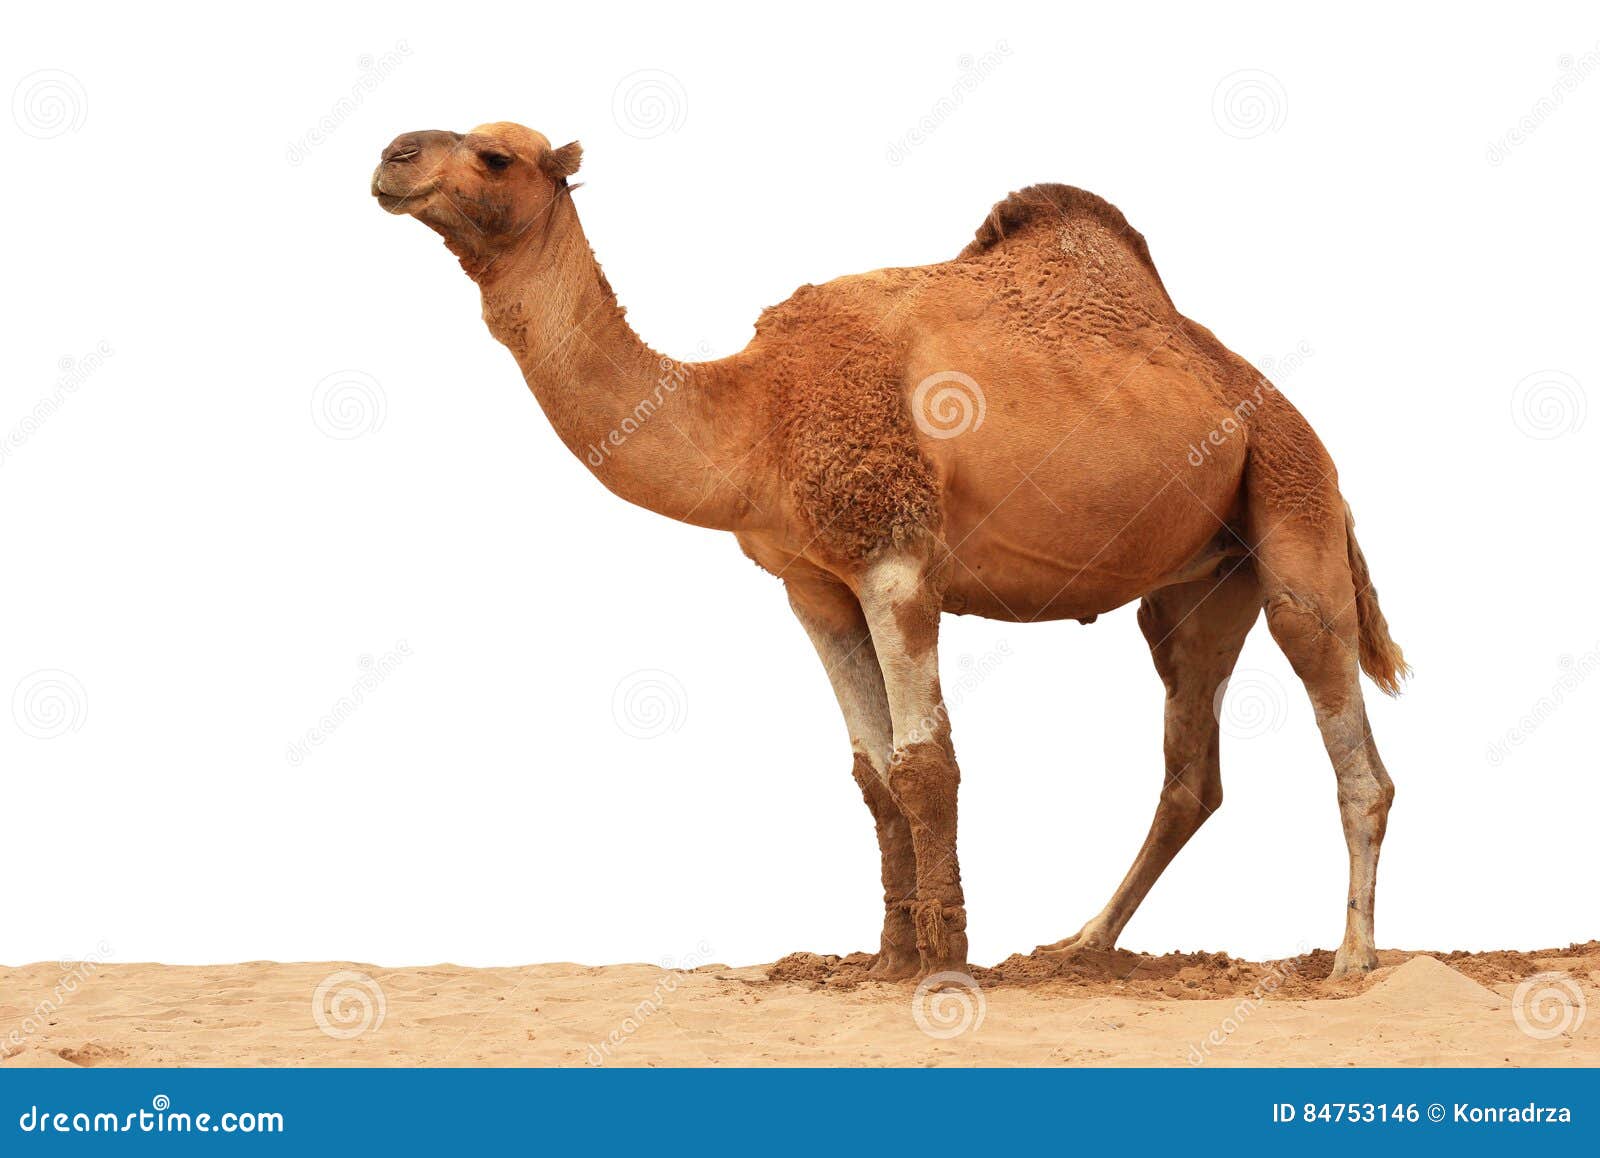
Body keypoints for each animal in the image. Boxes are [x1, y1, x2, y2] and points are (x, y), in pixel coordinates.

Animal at [370, 122, 1408, 982]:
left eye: (494, 155)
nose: (392, 157)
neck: (758, 410)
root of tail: (1273, 403)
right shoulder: (813, 585)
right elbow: (873, 775)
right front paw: (885, 956)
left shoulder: (895, 558)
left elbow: (925, 763)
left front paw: (942, 960)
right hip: (1198, 587)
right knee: (1191, 768)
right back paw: (1080, 945)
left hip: (1292, 499)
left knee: (1345, 729)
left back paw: (1351, 960)